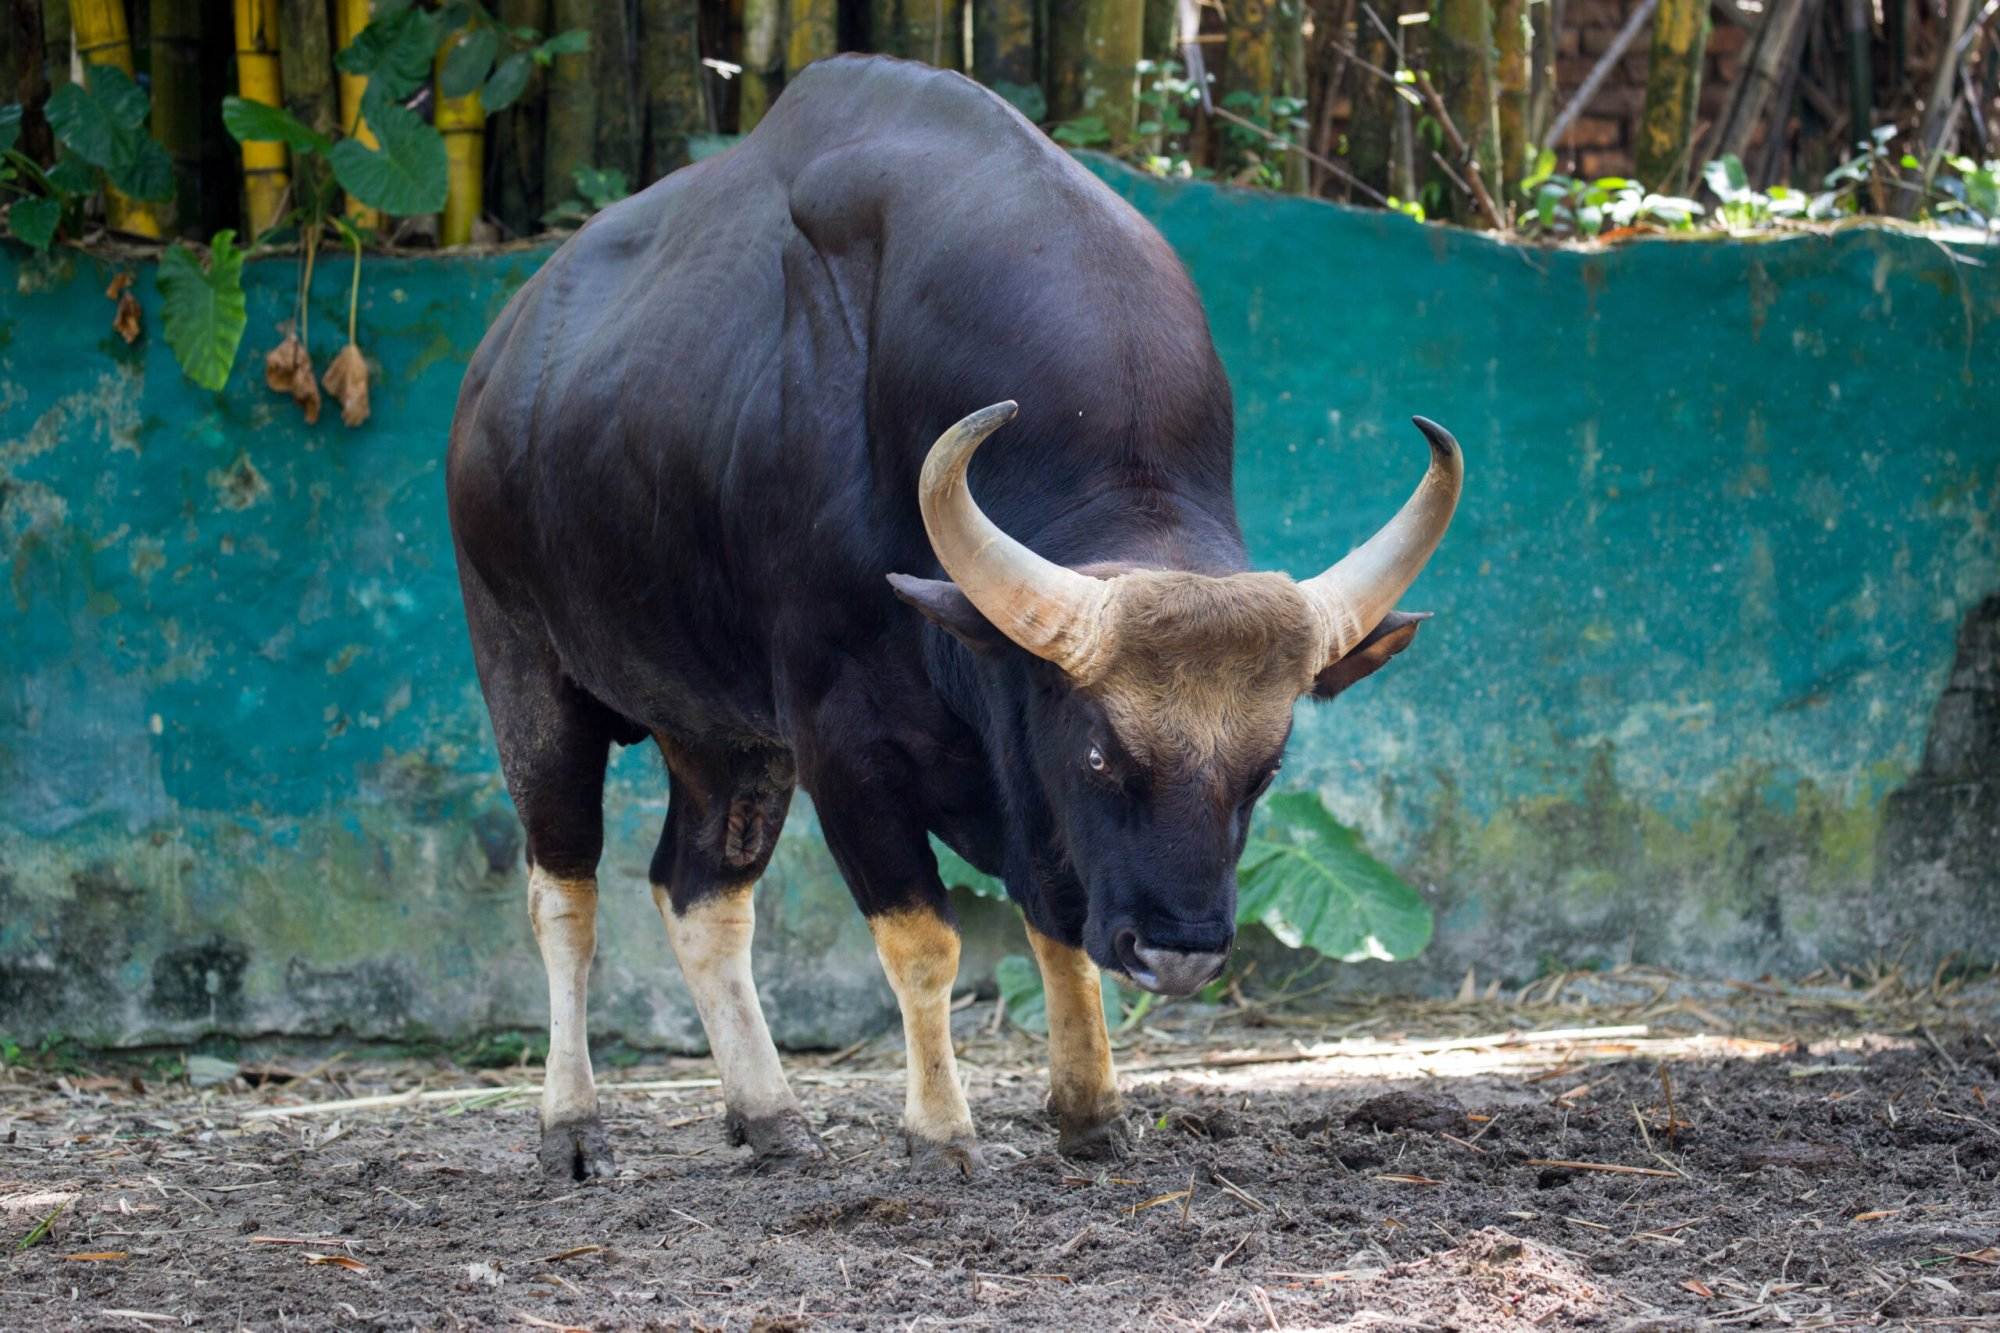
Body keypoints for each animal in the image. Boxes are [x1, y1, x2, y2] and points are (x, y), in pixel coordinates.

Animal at [446, 53, 1461, 1181]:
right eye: (1102, 753)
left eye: (1269, 765)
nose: (1179, 949)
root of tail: (494, 370)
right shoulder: (843, 739)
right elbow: (925, 940)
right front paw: (940, 1130)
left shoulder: (1009, 769)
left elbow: (1059, 918)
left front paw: (1090, 1110)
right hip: (527, 671)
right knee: (564, 893)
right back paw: (571, 1125)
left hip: (720, 731)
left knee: (698, 891)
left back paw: (771, 1115)